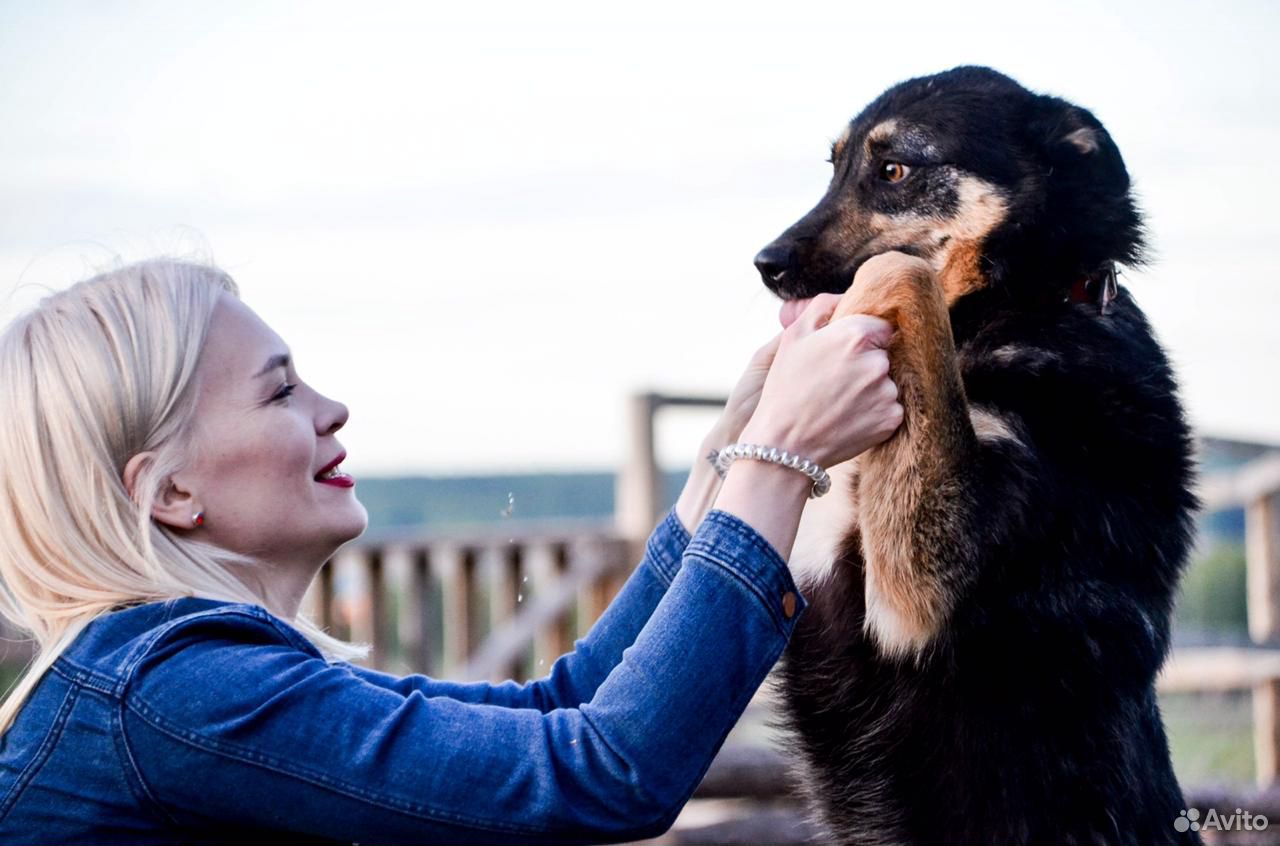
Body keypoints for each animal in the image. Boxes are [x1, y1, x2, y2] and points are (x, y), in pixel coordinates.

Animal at [747, 67, 1198, 844]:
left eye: (895, 170)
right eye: (834, 167)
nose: (766, 266)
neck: (1029, 299)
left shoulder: (916, 588)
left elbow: (904, 273)